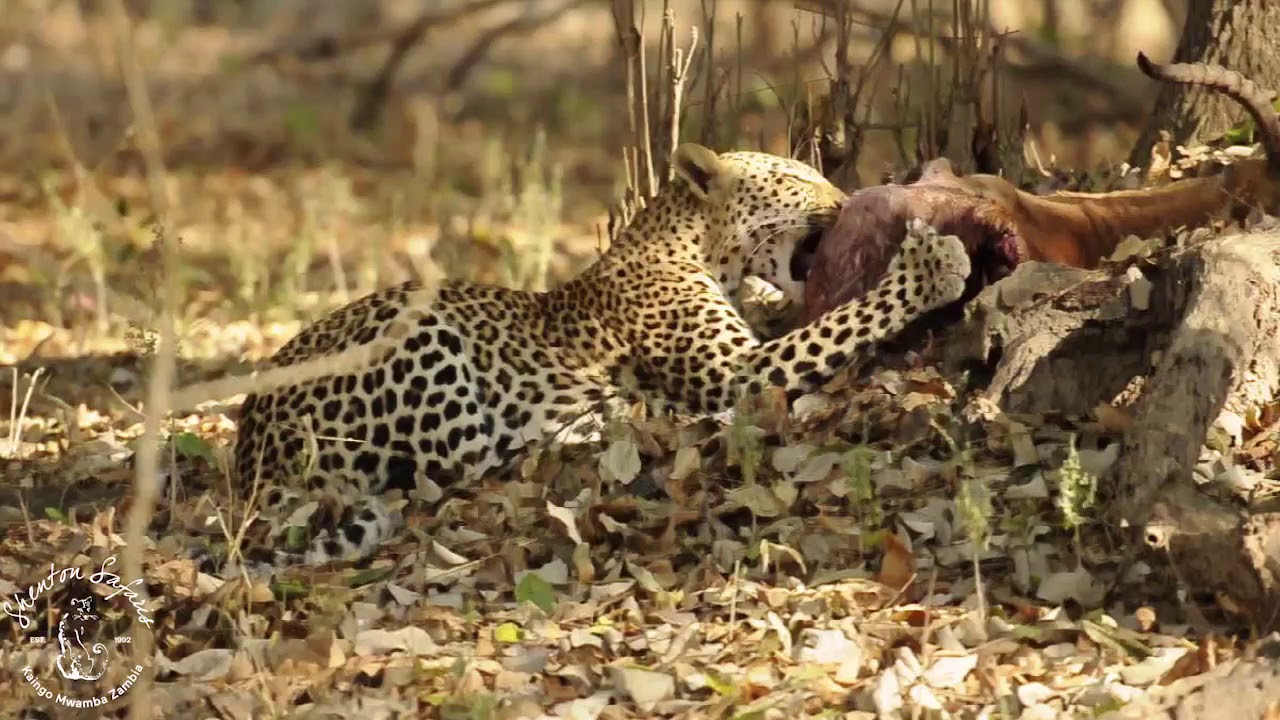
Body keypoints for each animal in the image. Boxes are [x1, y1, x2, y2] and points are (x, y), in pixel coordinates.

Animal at [228, 143, 972, 566]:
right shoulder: (738, 374)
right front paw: (934, 266)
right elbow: (848, 317)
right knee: (469, 463)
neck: (686, 241)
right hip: (420, 338)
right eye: (797, 178)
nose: (847, 198)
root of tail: (248, 452)